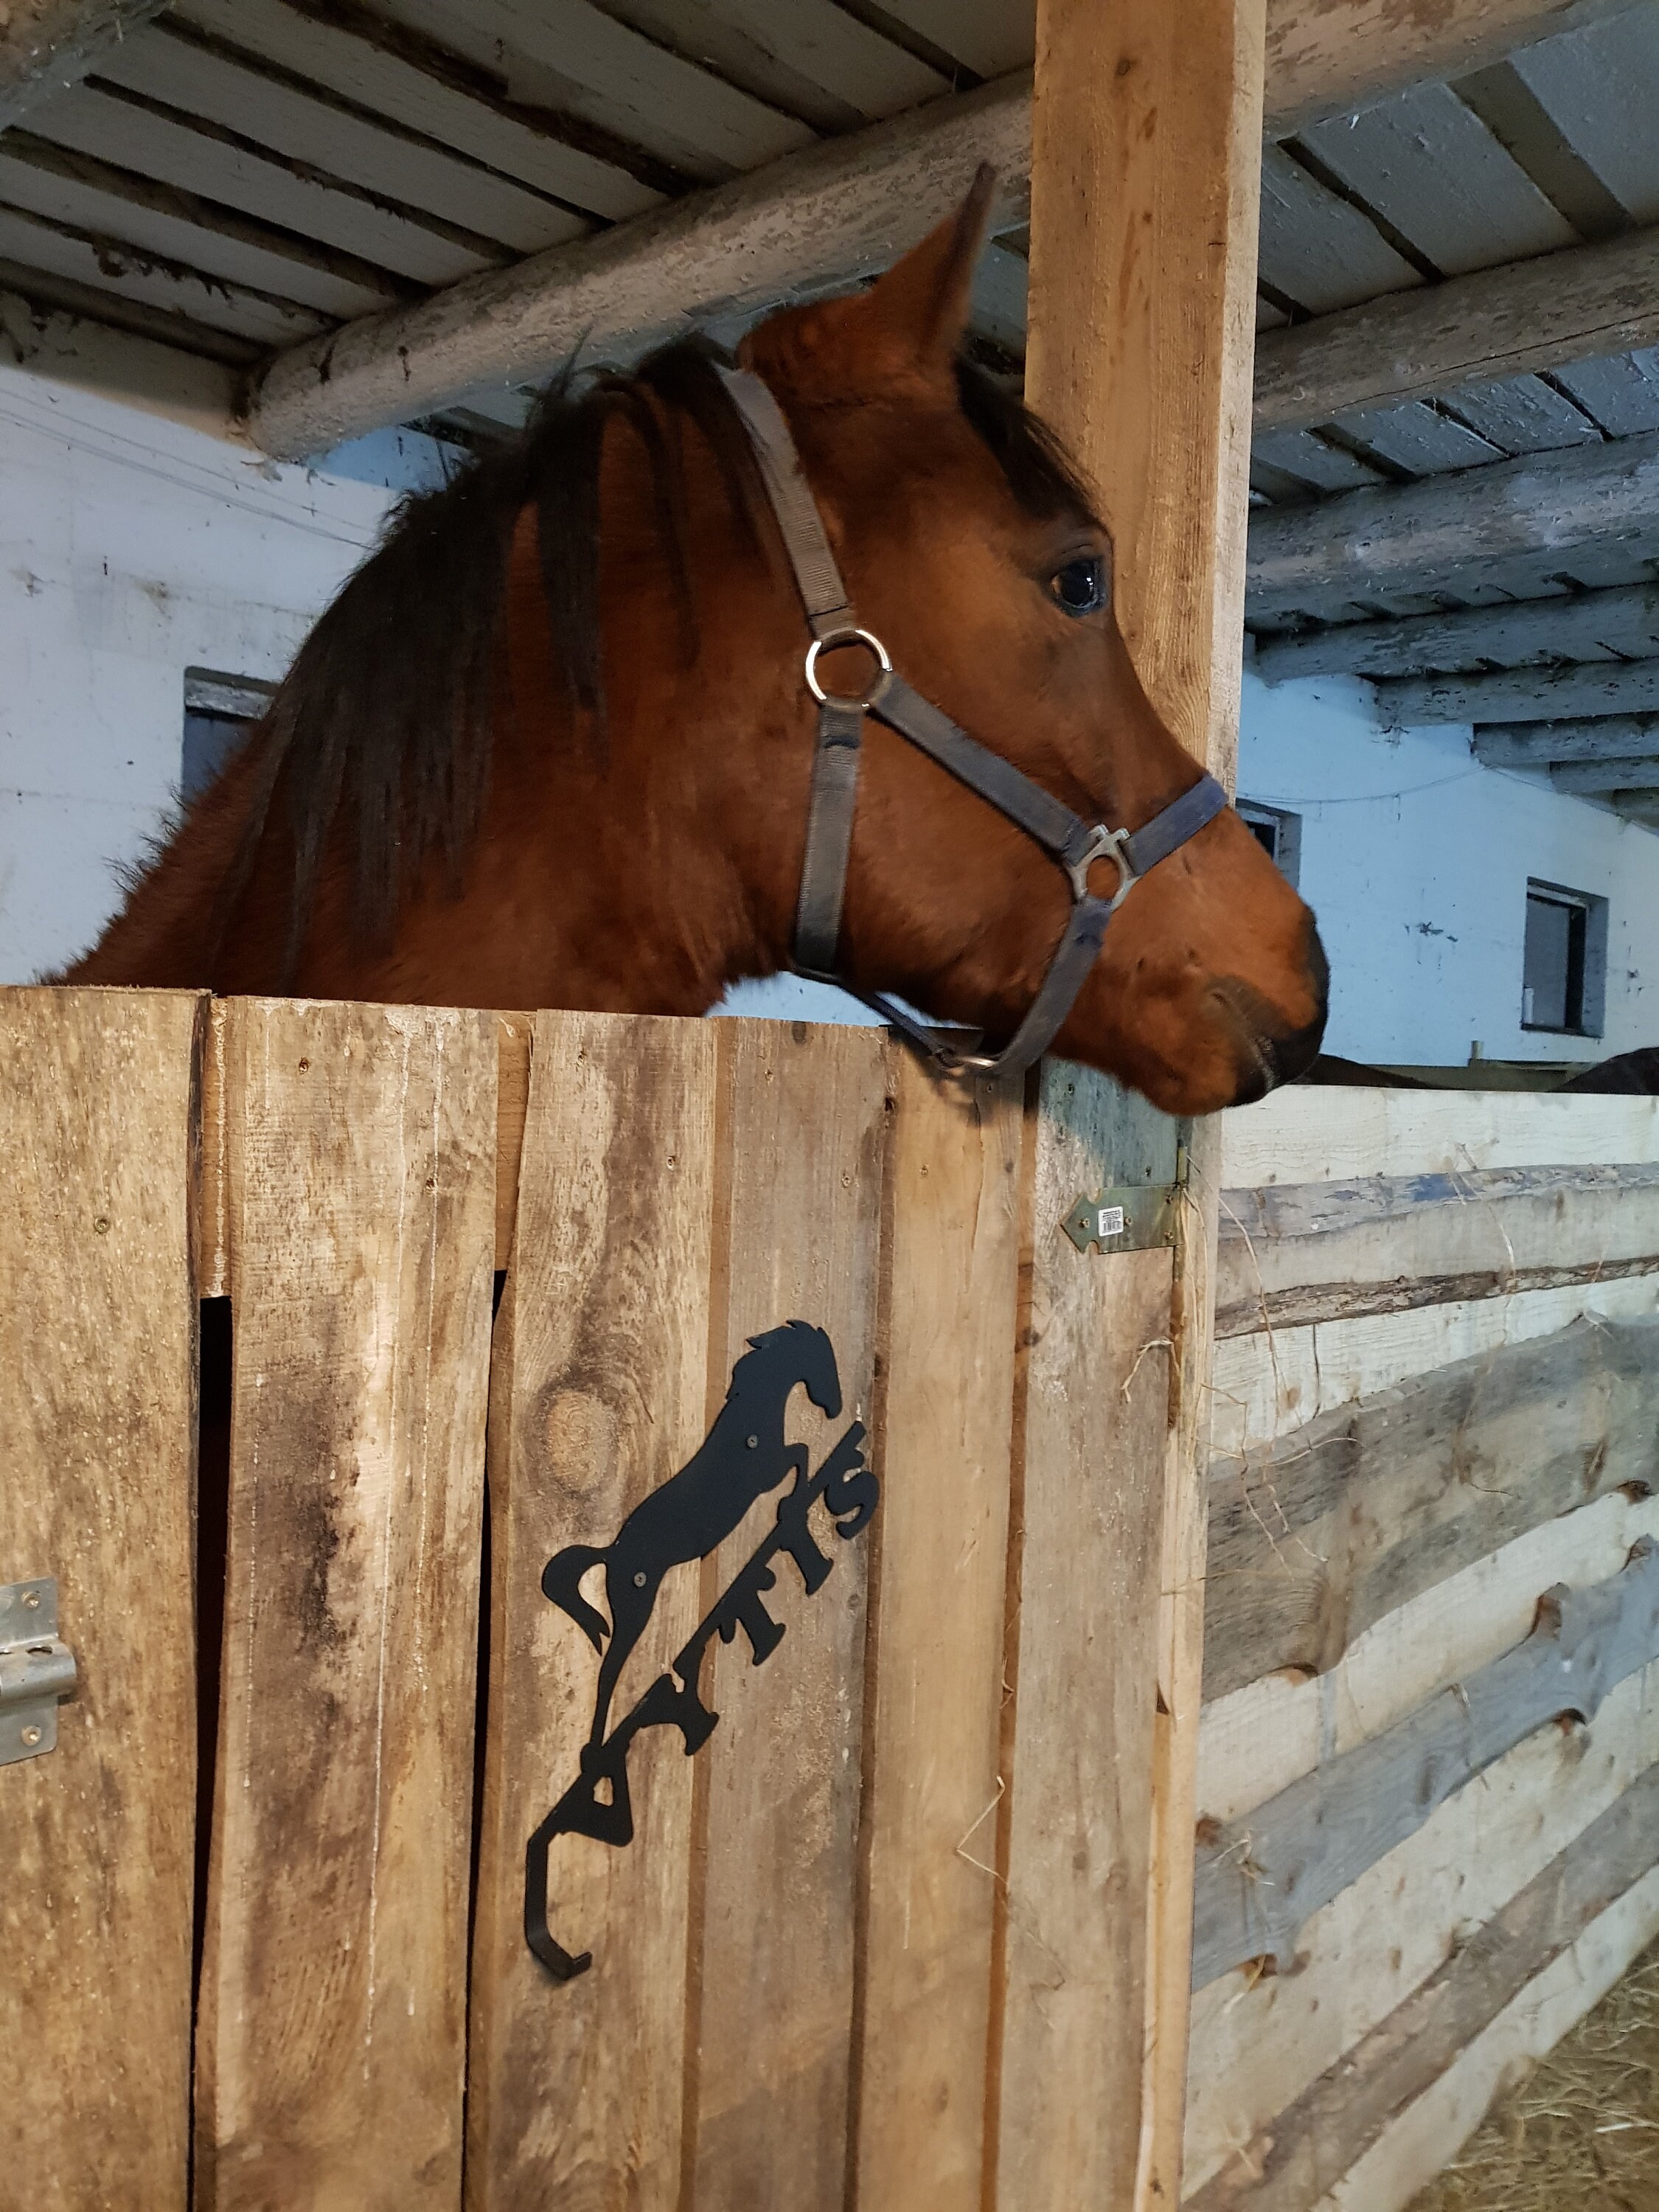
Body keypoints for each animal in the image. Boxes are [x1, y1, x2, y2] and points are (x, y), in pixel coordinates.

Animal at [540, 1320, 842, 1756]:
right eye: (823, 1362)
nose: (836, 1408)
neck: (752, 1416)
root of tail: (612, 1553)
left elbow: (801, 1453)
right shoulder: (767, 1472)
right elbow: (800, 1454)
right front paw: (790, 1506)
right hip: (635, 1606)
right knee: (609, 1671)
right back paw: (595, 1747)